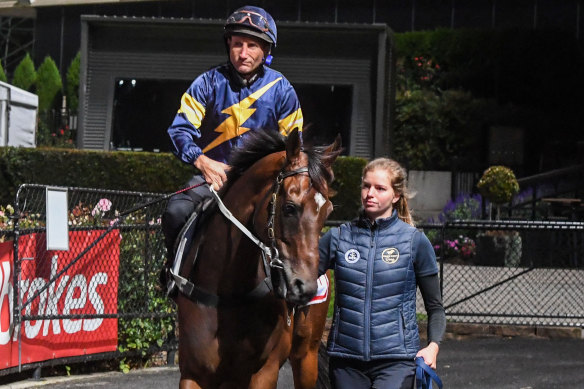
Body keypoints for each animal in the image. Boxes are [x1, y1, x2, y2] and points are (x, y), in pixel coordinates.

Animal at [176, 128, 340, 388]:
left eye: (328, 211)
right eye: (289, 207)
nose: (305, 287)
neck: (228, 295)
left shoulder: (264, 371)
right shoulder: (193, 373)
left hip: (306, 354)